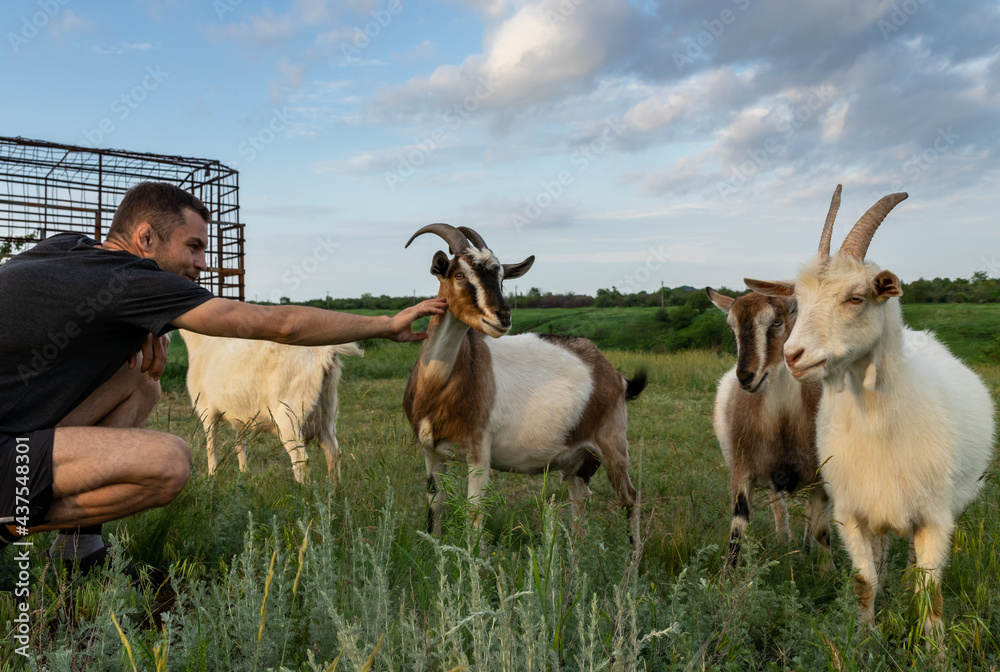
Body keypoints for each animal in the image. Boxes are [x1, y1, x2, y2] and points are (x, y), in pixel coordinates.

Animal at [179, 330, 363, 483]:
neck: (202, 342)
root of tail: (322, 354)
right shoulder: (241, 416)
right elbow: (239, 443)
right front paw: (244, 472)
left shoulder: (207, 411)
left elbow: (211, 446)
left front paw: (212, 475)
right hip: (327, 410)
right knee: (333, 452)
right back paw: (335, 492)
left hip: (289, 414)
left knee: (301, 460)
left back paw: (303, 496)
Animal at [402, 224, 646, 542]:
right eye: (459, 274)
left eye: (502, 278)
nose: (503, 317)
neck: (440, 386)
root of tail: (615, 375)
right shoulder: (430, 452)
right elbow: (435, 504)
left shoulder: (479, 453)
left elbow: (474, 515)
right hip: (576, 459)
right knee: (579, 504)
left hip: (612, 441)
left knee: (630, 498)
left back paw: (634, 555)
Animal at [707, 287, 834, 573]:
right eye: (731, 327)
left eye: (777, 322)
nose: (746, 377)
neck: (783, 422)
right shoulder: (743, 471)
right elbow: (737, 529)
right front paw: (727, 577)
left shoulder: (820, 477)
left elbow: (822, 529)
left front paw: (828, 575)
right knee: (780, 508)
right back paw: (785, 541)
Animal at [746, 185, 995, 644]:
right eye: (797, 303)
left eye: (855, 297)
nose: (793, 355)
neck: (879, 421)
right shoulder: (851, 514)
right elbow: (865, 582)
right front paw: (864, 640)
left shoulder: (935, 517)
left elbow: (930, 590)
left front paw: (934, 648)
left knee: (915, 566)